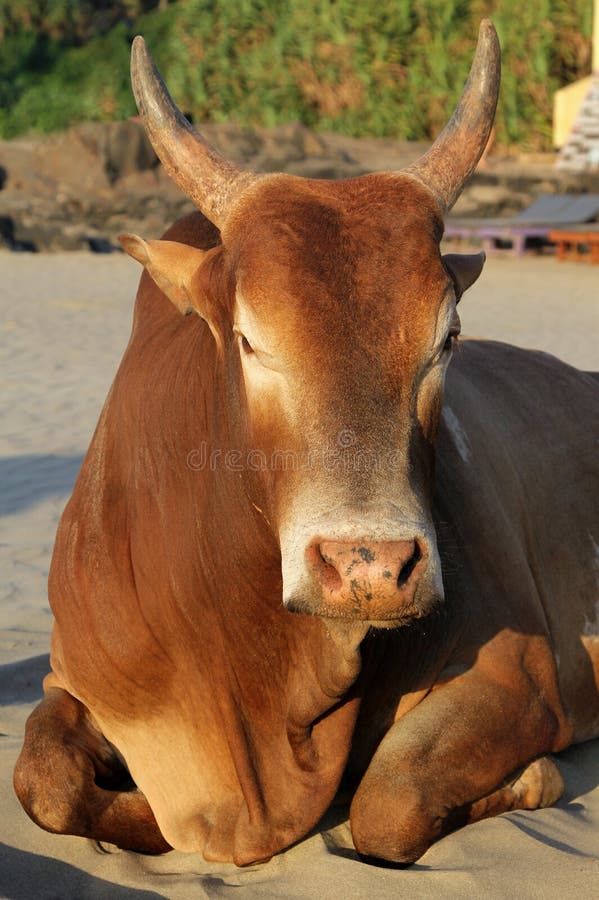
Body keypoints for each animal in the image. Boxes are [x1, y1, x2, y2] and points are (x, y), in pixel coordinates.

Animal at [14, 20, 599, 867]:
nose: (371, 570)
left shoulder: (523, 675)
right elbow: (48, 785)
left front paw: (533, 778)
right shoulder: (73, 678)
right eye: (250, 340)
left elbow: (388, 803)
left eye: (447, 339)